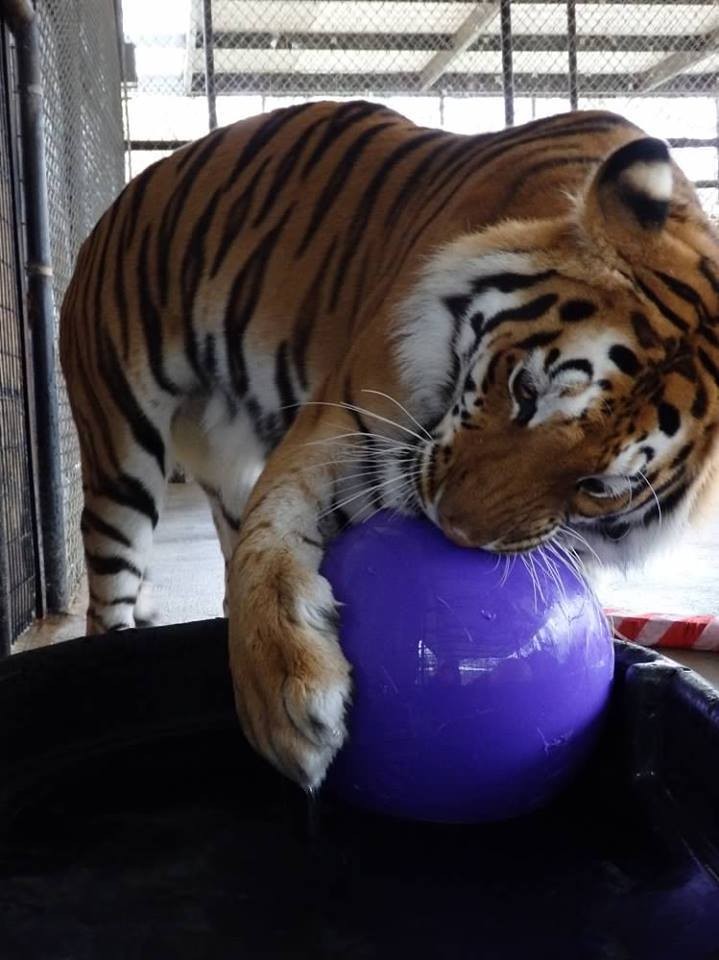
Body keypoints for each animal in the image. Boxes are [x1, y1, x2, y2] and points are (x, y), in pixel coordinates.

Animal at [59, 99, 719, 790]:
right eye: (525, 389)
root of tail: (133, 189)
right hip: (119, 447)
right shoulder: (344, 425)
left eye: (597, 487)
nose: (453, 527)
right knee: (110, 588)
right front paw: (281, 698)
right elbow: (271, 535)